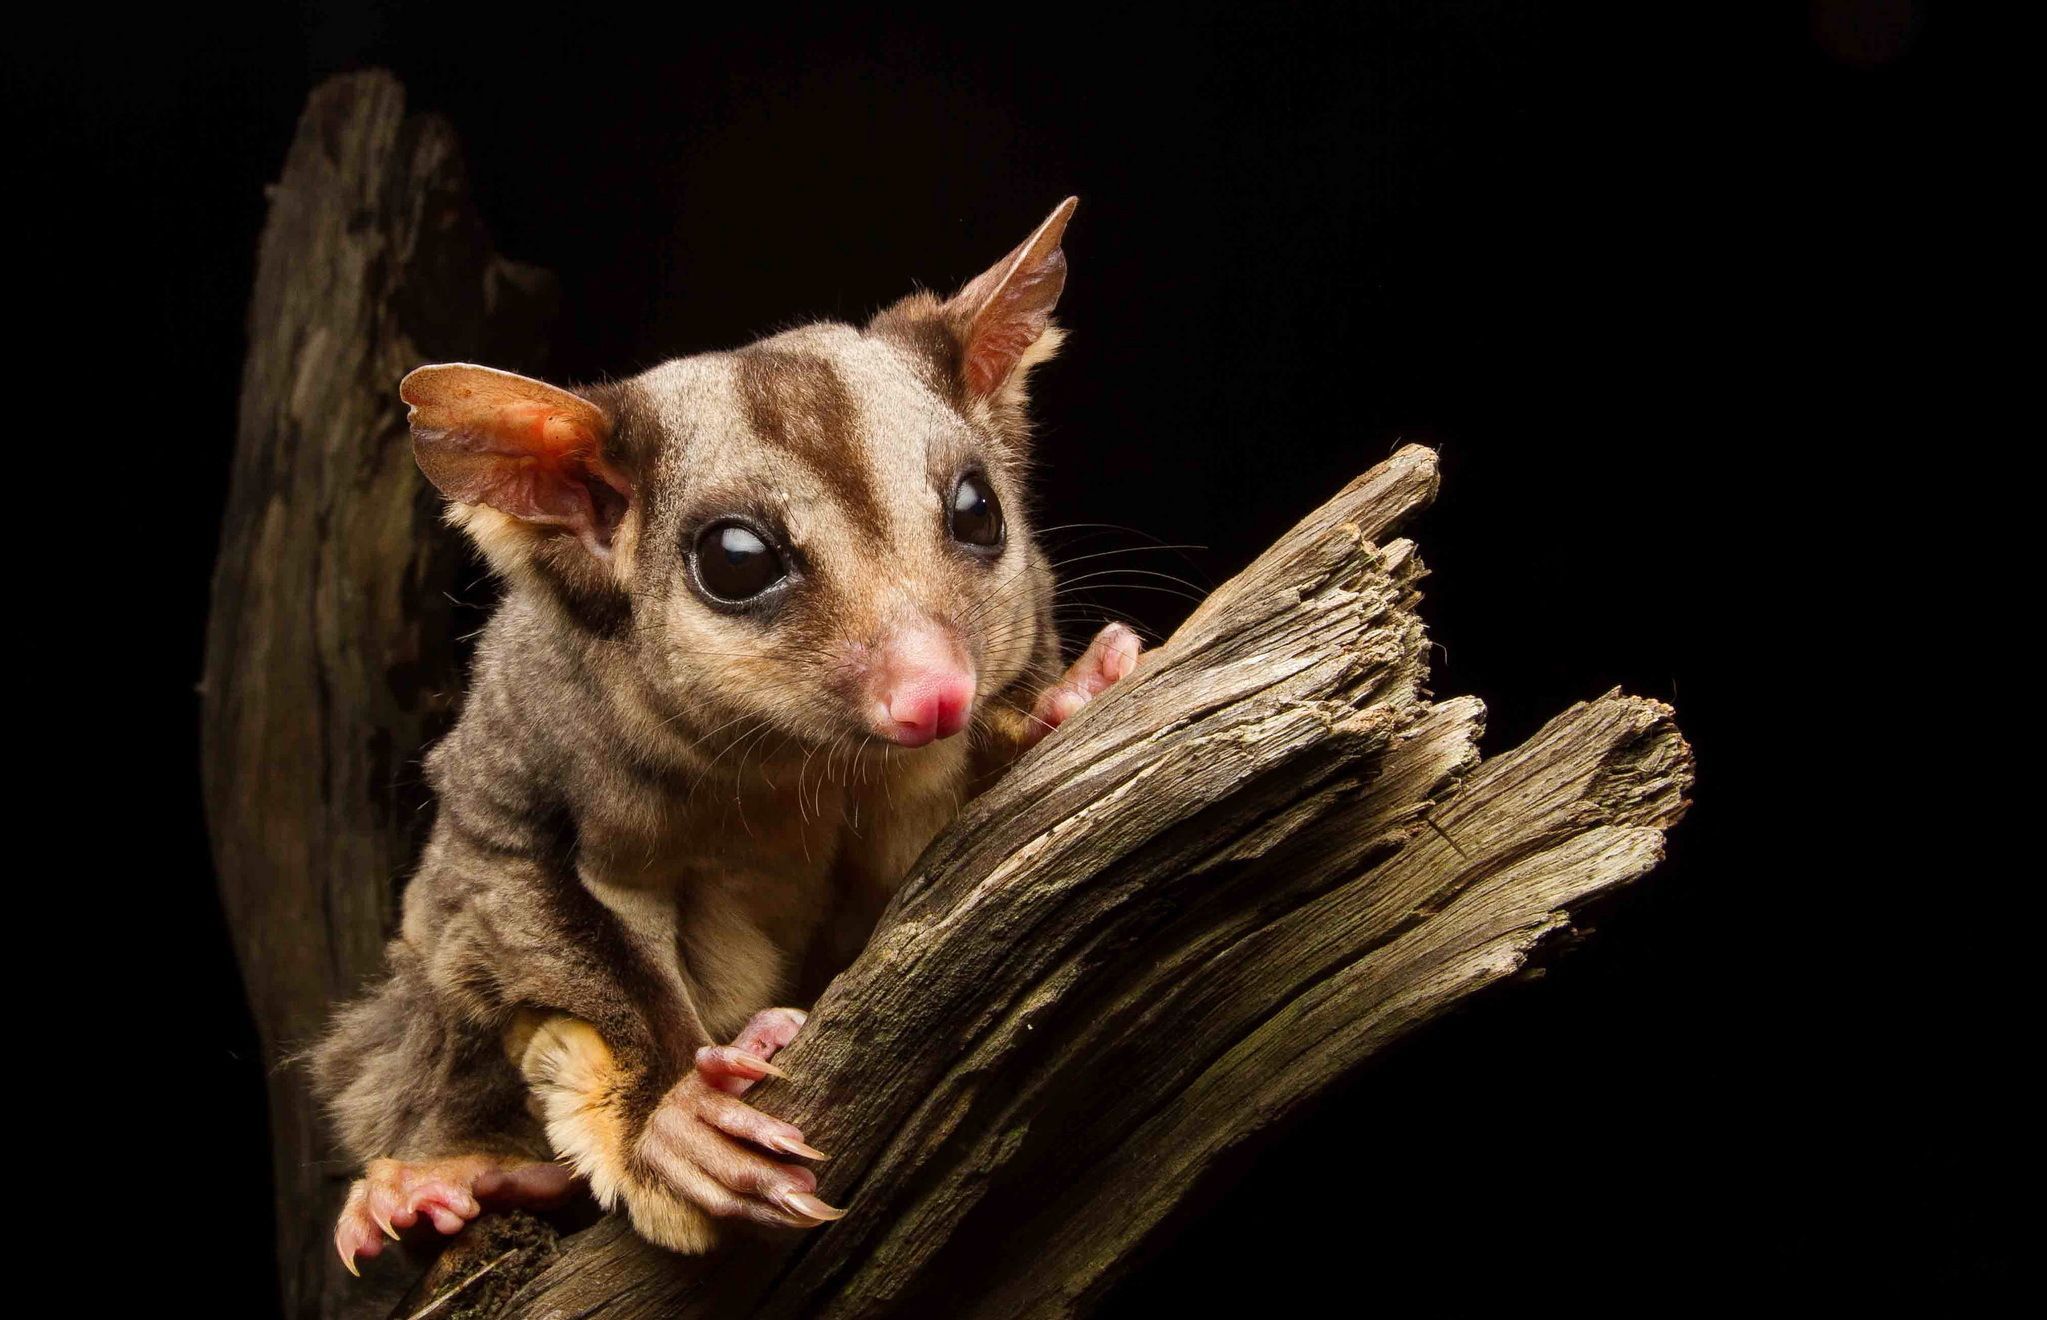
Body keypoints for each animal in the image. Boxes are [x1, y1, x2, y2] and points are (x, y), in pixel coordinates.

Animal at [308, 198, 1143, 1274]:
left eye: (976, 510)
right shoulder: (512, 769)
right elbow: (519, 907)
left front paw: (1067, 698)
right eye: (736, 561)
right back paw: (449, 1179)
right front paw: (677, 1123)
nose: (933, 693)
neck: (792, 766)